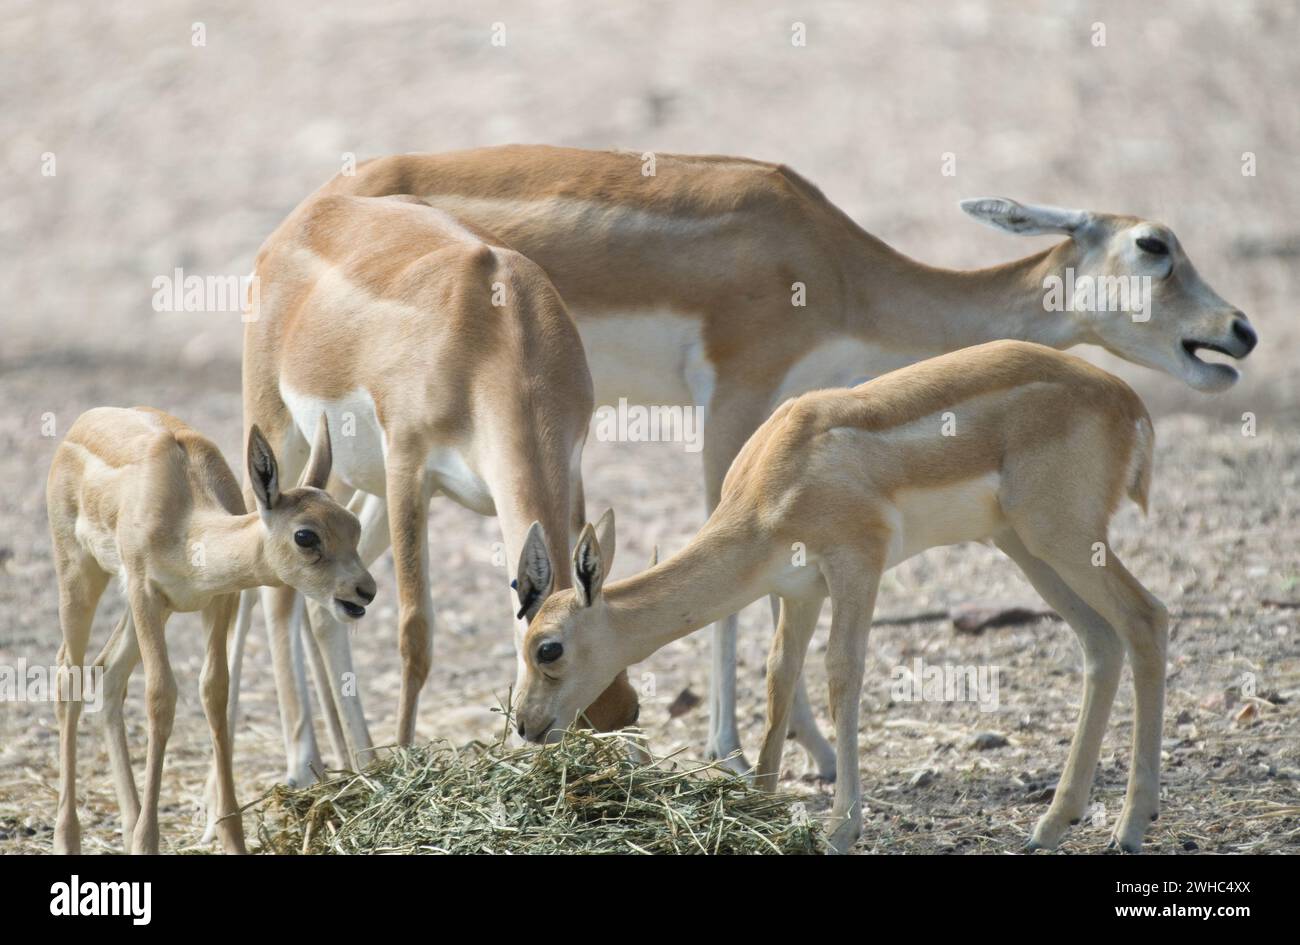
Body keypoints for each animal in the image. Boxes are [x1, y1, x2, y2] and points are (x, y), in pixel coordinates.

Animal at [46, 407, 373, 854]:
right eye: (306, 535)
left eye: (353, 524)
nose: (365, 590)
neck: (186, 518)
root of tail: (82, 424)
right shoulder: (145, 592)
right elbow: (161, 697)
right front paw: (148, 840)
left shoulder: (218, 601)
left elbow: (215, 691)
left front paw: (230, 835)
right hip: (80, 576)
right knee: (68, 675)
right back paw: (69, 836)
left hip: (144, 610)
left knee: (109, 674)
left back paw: (128, 824)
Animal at [221, 192, 639, 805]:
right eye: (550, 650)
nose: (618, 715)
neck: (495, 330)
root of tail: (315, 210)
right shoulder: (408, 470)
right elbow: (415, 632)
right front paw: (406, 761)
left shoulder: (572, 468)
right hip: (282, 435)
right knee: (267, 591)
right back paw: (298, 768)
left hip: (347, 482)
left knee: (321, 607)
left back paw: (358, 762)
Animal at [318, 144, 1254, 778]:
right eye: (1154, 245)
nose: (1239, 329)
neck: (830, 262)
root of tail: (330, 198)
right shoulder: (734, 398)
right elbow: (738, 586)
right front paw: (736, 751)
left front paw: (812, 752)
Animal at [514, 340, 1168, 855]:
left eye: (548, 648)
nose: (525, 724)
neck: (775, 480)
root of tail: (1127, 401)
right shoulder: (798, 590)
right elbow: (780, 675)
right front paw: (763, 802)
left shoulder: (856, 563)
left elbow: (841, 674)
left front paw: (840, 829)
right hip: (1026, 547)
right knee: (1100, 642)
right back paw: (1052, 826)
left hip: (1063, 538)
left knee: (1147, 618)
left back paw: (1130, 828)